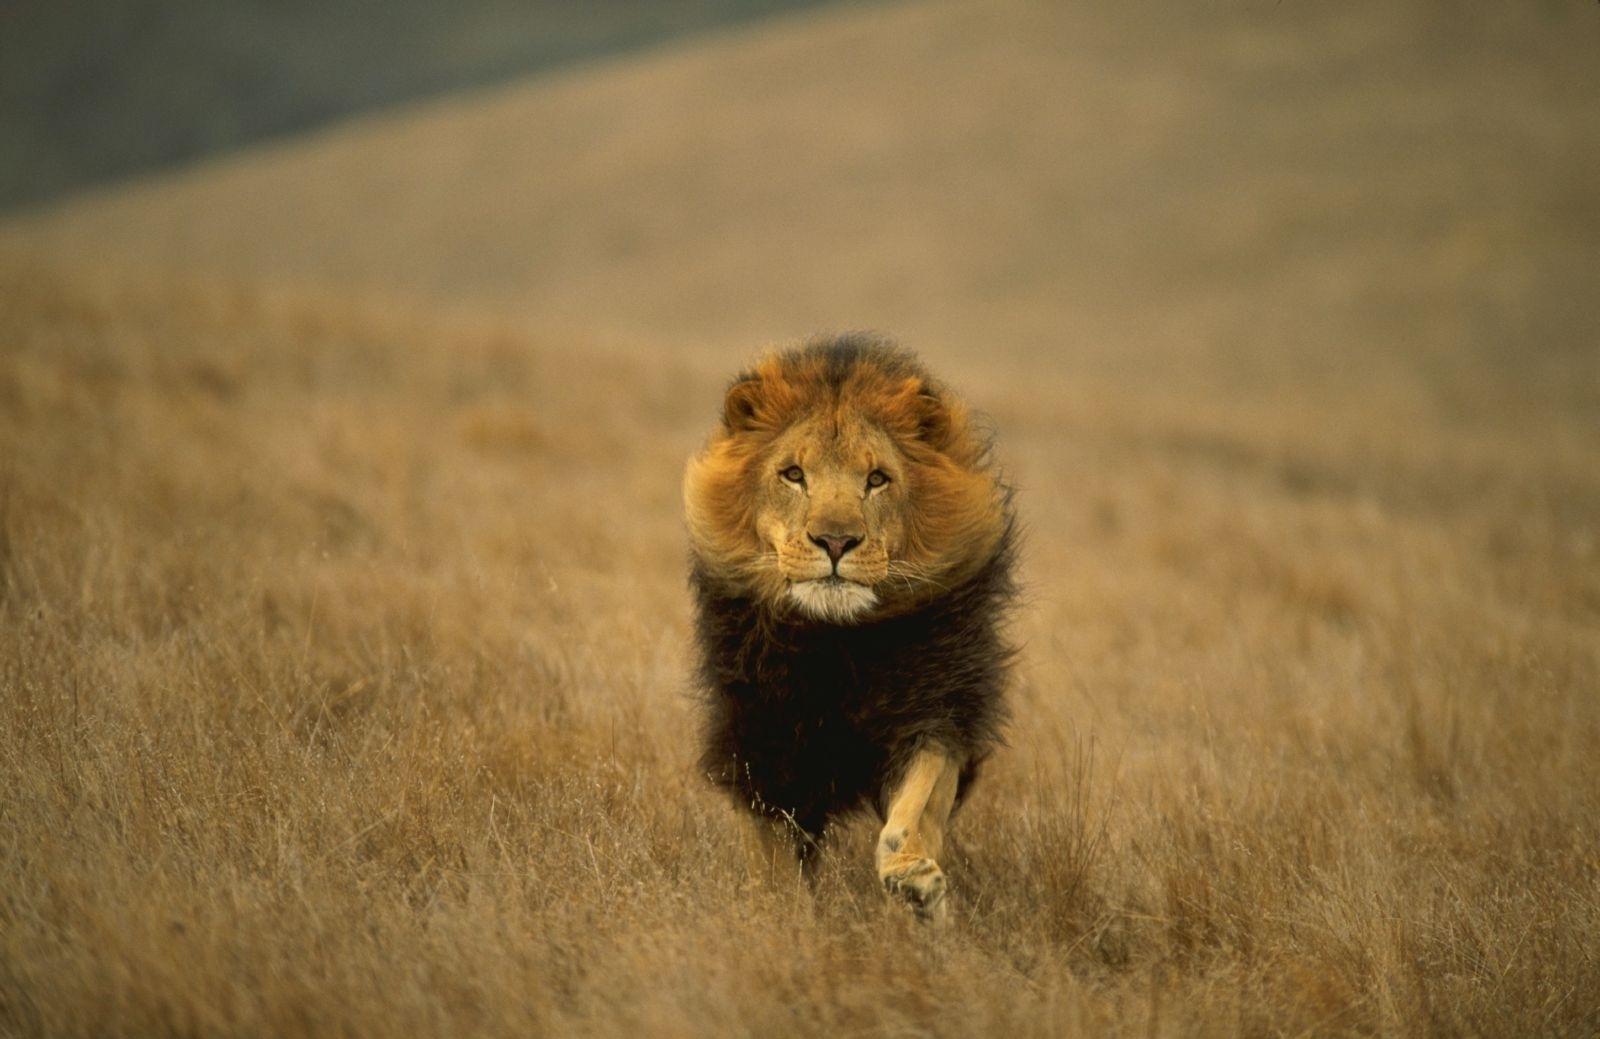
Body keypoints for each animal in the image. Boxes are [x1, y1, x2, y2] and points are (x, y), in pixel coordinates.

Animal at [683, 333, 1016, 922]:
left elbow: (915, 807)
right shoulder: (761, 744)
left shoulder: (934, 710)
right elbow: (772, 862)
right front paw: (781, 917)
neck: (836, 645)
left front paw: (912, 878)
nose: (835, 541)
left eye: (877, 479)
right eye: (794, 475)